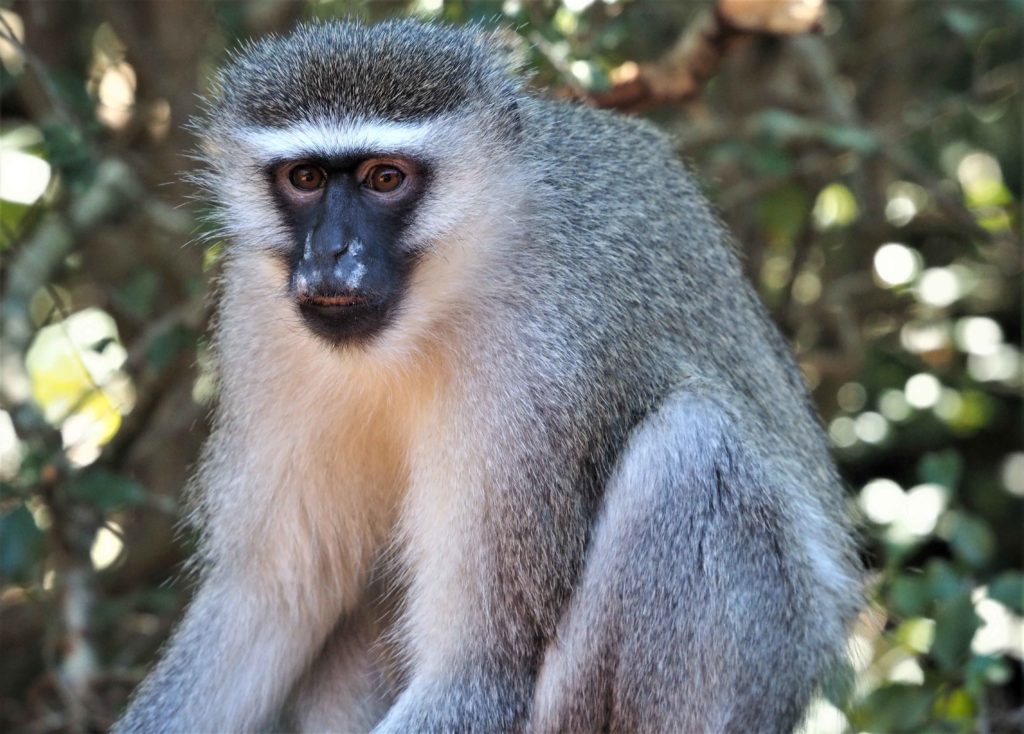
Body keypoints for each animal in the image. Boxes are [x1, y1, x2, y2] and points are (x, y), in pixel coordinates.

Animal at [115, 18, 862, 734]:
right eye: (305, 179)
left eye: (385, 178)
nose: (330, 254)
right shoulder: (260, 319)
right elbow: (272, 600)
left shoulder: (542, 358)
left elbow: (479, 671)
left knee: (690, 447)